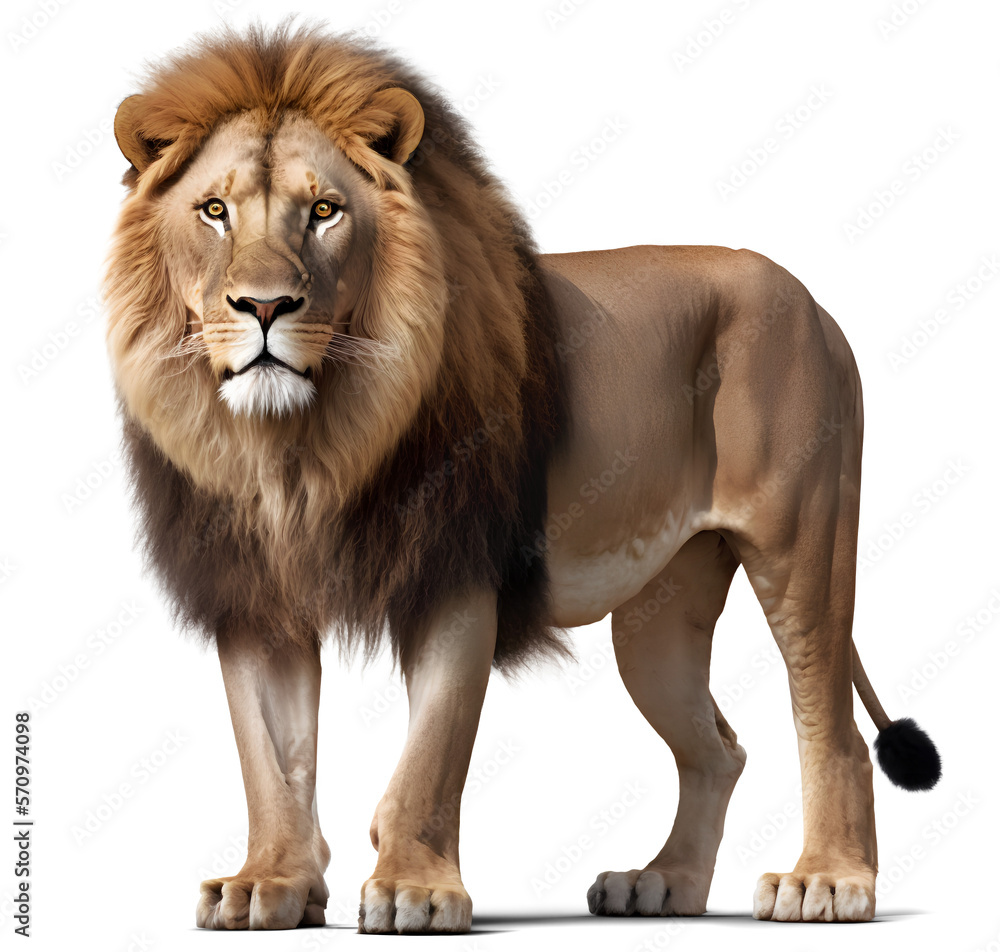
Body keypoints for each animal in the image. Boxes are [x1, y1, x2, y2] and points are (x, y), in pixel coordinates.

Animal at [106, 24, 941, 932]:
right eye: (214, 211)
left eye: (324, 212)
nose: (264, 307)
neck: (302, 445)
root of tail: (815, 306)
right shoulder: (254, 595)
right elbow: (270, 761)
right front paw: (269, 882)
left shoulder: (455, 573)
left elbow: (430, 760)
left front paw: (415, 891)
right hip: (657, 618)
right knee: (718, 747)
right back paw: (664, 883)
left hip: (799, 546)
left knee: (832, 728)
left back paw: (829, 881)